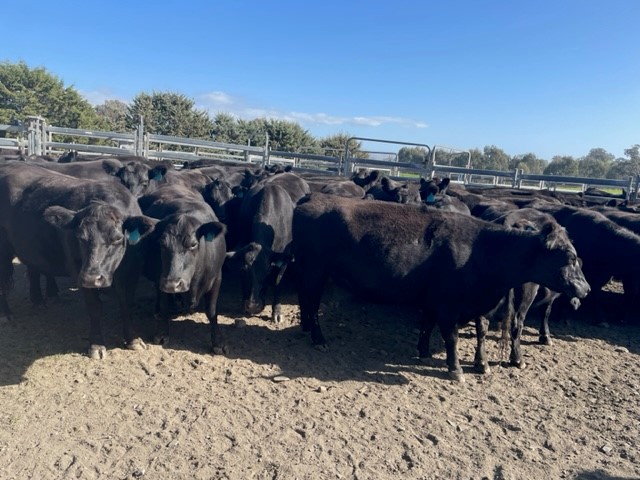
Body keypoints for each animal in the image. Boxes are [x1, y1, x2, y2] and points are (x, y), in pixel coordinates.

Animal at [0, 163, 155, 358]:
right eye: (80, 237)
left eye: (118, 238)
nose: (91, 278)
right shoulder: (79, 270)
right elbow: (95, 307)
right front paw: (96, 344)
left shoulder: (133, 271)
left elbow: (126, 303)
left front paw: (133, 339)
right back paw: (5, 314)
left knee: (33, 268)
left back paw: (37, 300)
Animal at [138, 183, 227, 353]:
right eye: (161, 243)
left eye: (193, 244)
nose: (172, 284)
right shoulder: (161, 278)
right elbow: (165, 304)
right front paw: (162, 334)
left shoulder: (217, 278)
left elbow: (212, 311)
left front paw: (218, 342)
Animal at [291, 194, 590, 381]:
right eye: (570, 256)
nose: (586, 289)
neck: (482, 249)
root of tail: (311, 198)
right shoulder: (448, 304)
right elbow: (451, 337)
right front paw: (455, 369)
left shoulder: (439, 298)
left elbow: (431, 324)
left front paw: (426, 352)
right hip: (316, 269)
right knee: (311, 300)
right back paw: (318, 337)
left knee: (307, 299)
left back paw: (306, 328)